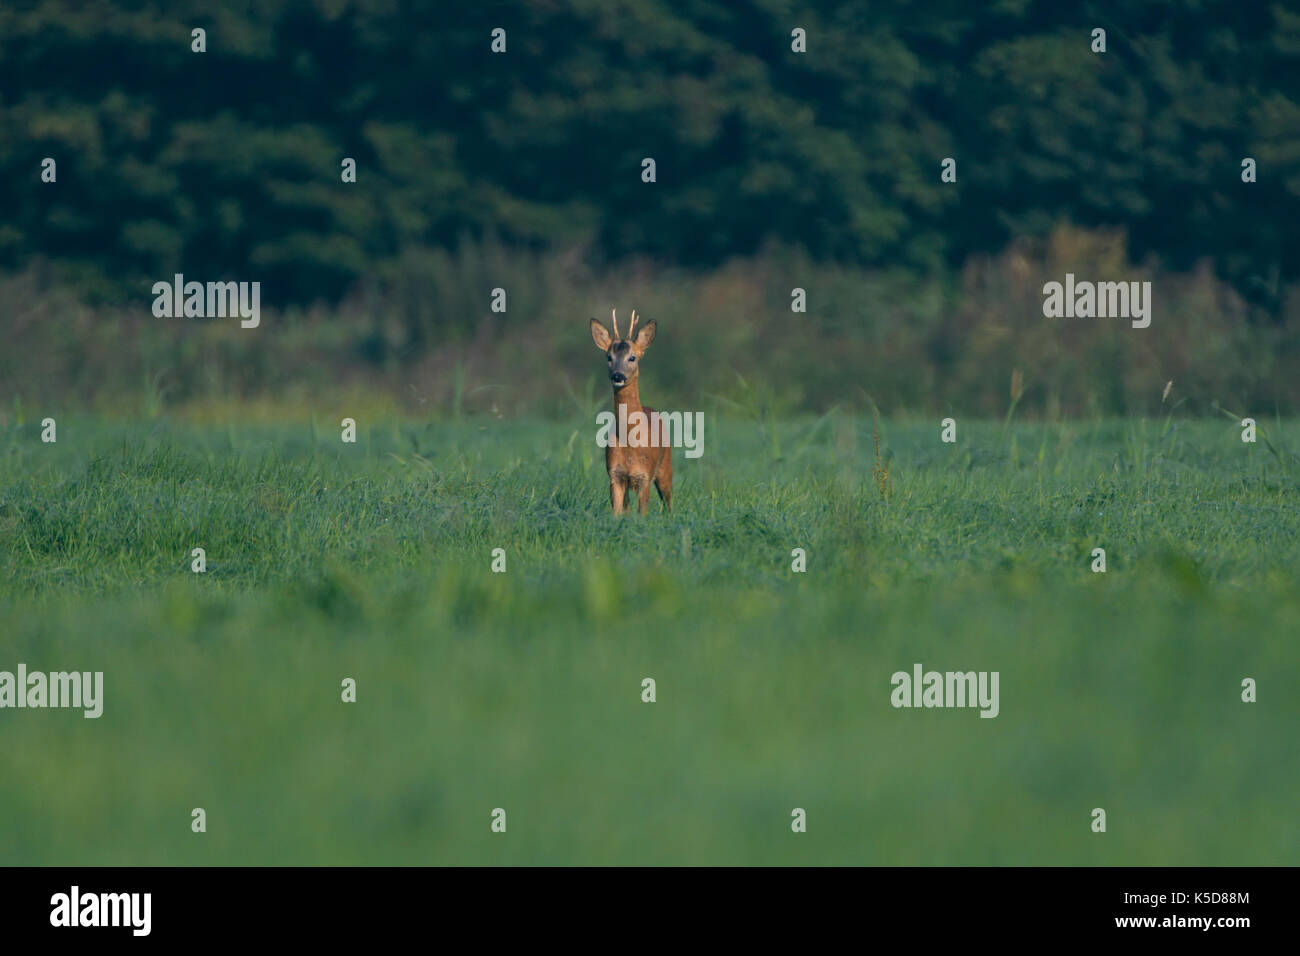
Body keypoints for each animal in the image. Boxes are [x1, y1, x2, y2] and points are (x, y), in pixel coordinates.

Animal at [590, 309, 672, 515]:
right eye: (609, 357)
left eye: (632, 357)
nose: (617, 375)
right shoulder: (615, 475)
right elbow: (617, 514)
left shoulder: (645, 476)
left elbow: (642, 514)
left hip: (665, 466)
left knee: (669, 501)